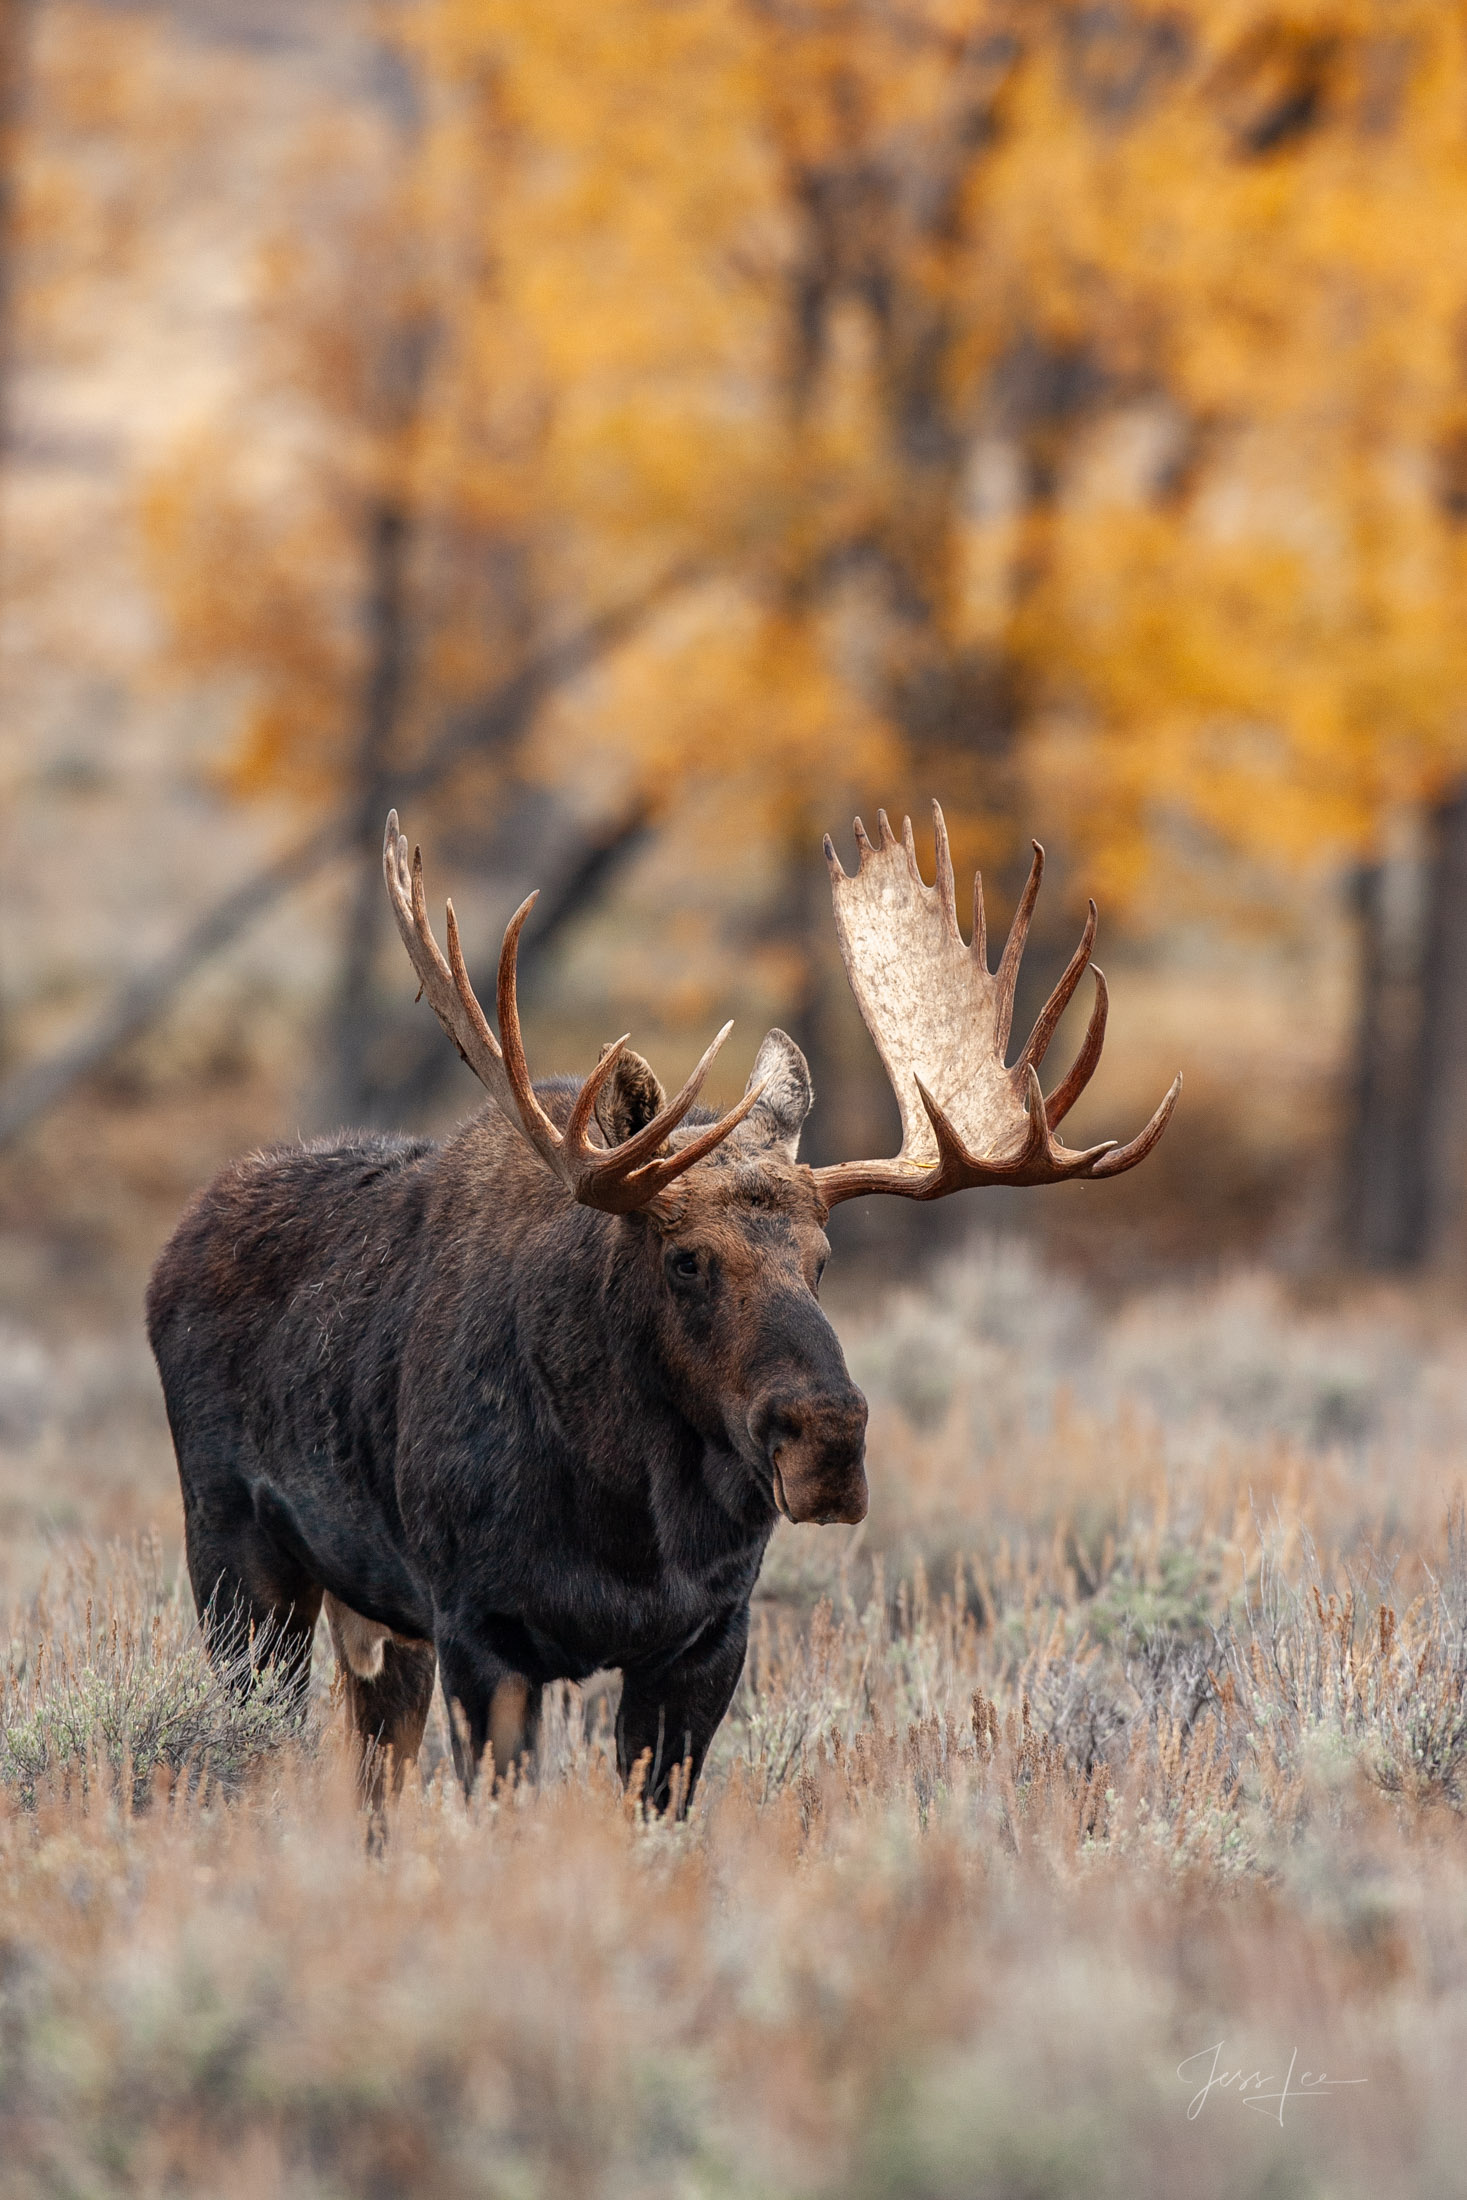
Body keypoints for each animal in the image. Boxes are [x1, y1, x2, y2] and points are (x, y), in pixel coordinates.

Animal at [146, 802, 1179, 1813]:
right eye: (685, 1259)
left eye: (822, 1260)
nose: (827, 1441)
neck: (627, 1520)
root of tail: (173, 1246)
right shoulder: (477, 1624)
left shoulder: (707, 1635)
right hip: (238, 1561)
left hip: (372, 1619)